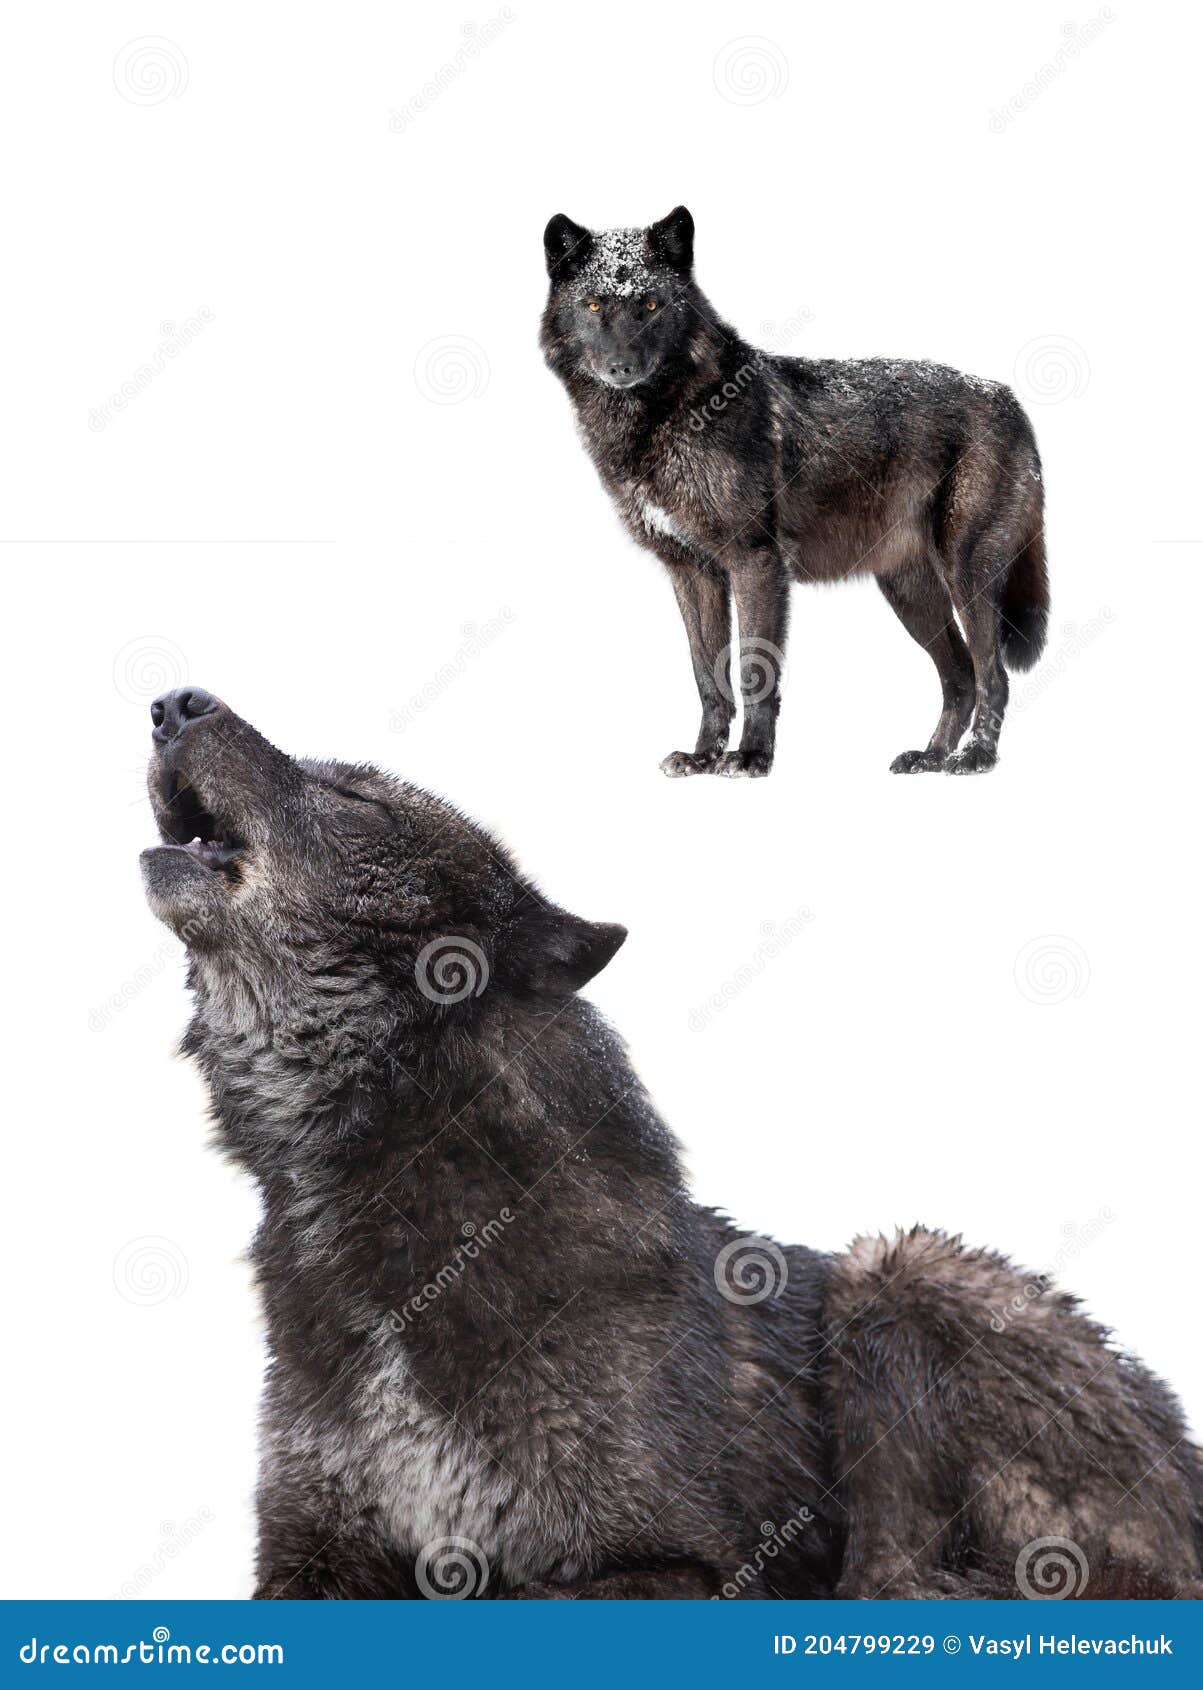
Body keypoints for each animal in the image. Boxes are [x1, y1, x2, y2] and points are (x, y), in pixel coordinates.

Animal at [540, 207, 1049, 777]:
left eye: (650, 304)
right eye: (594, 304)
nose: (622, 368)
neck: (672, 413)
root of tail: (1009, 399)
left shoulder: (756, 561)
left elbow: (752, 670)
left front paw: (751, 758)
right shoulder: (692, 572)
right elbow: (707, 676)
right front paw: (703, 757)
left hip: (967, 576)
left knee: (993, 675)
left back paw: (976, 757)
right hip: (910, 593)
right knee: (959, 677)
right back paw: (931, 757)